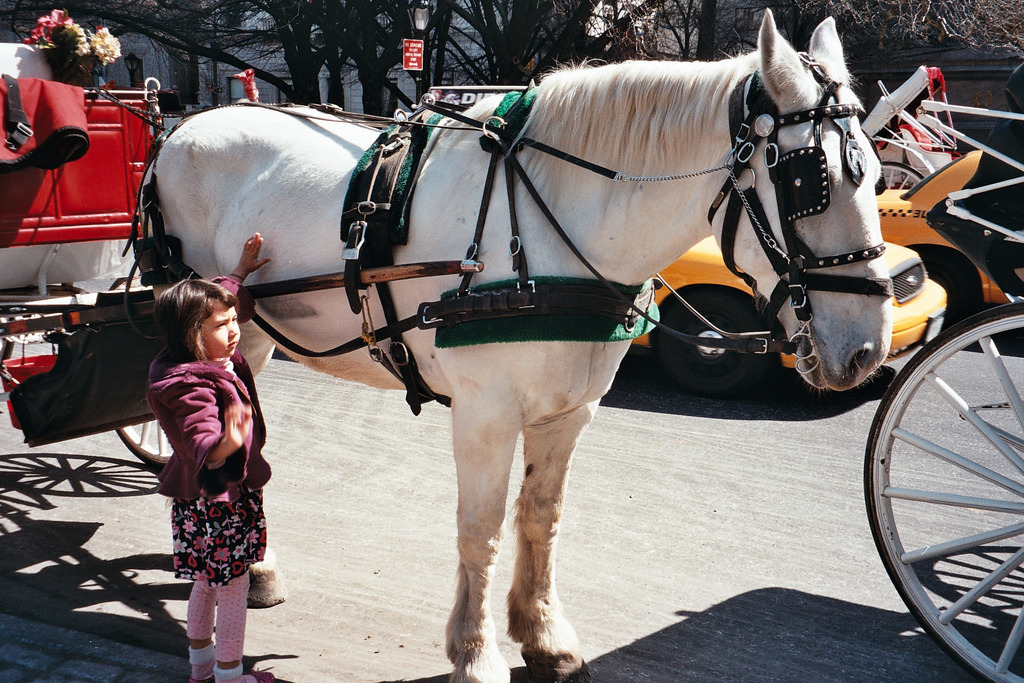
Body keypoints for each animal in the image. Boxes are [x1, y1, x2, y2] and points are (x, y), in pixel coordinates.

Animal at [148, 11, 889, 683]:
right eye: (807, 181)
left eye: (879, 172)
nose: (868, 348)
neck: (550, 224)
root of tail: (181, 126)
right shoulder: (486, 413)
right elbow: (481, 529)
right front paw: (475, 654)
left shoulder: (569, 411)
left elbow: (540, 517)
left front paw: (542, 634)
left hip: (253, 336)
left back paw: (254, 563)